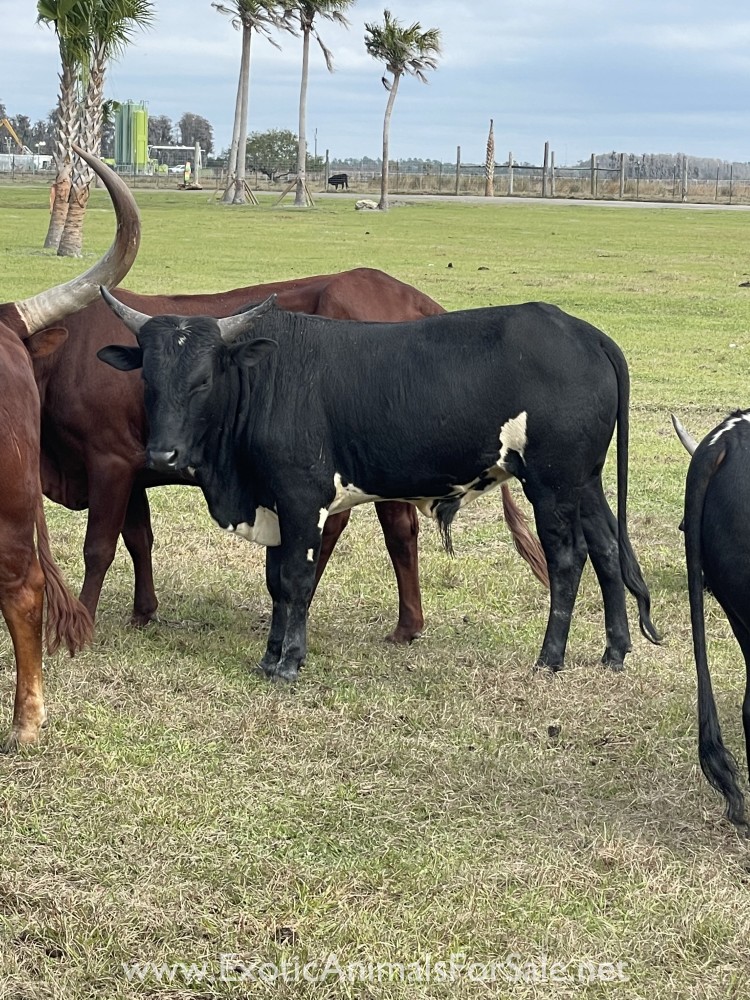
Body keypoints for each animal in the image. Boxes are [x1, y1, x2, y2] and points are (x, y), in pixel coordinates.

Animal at [33, 268, 547, 643]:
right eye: (146, 381)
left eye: (205, 382)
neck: (61, 360)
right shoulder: (138, 466)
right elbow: (139, 538)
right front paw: (143, 613)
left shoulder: (109, 464)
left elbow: (99, 547)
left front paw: (84, 621)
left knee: (391, 530)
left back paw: (398, 624)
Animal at [98, 294, 660, 684]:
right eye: (149, 380)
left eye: (202, 380)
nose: (163, 455)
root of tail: (583, 332)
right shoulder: (275, 504)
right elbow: (276, 583)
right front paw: (269, 656)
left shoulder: (302, 500)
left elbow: (296, 581)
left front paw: (289, 662)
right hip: (586, 482)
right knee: (607, 550)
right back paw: (614, 652)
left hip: (552, 484)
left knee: (568, 559)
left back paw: (549, 658)